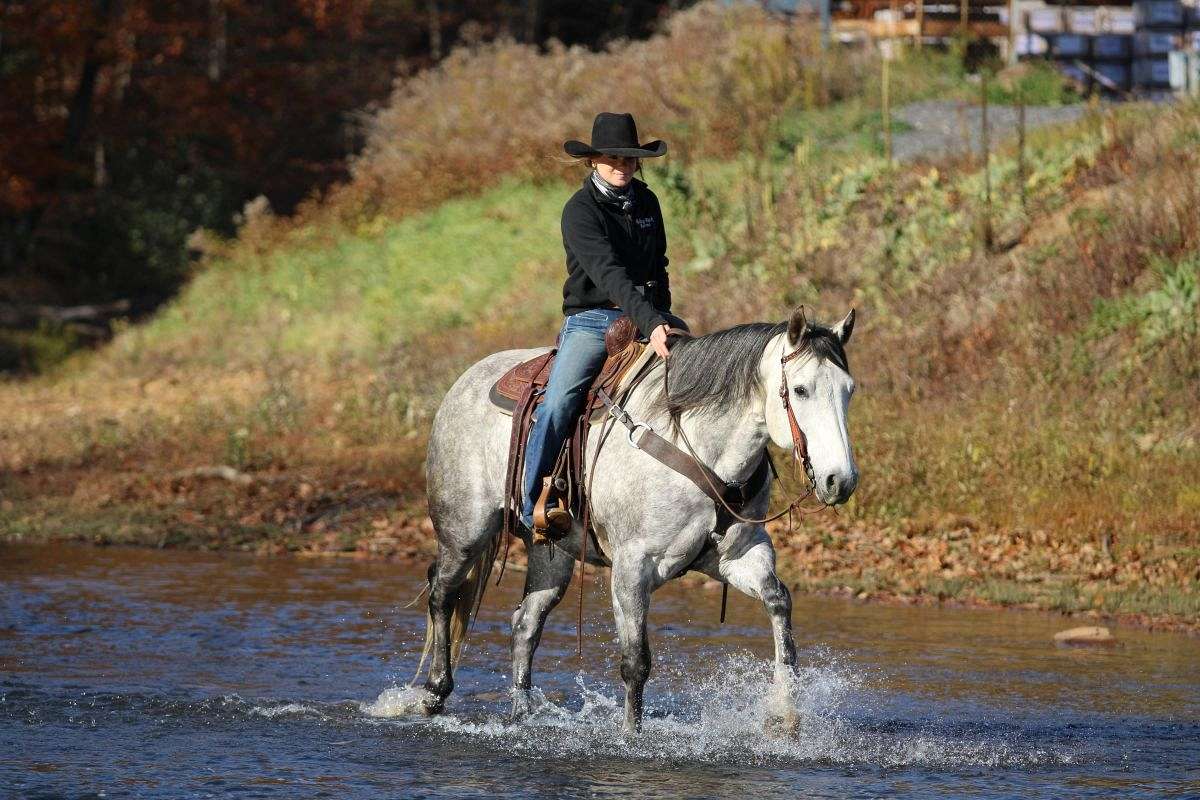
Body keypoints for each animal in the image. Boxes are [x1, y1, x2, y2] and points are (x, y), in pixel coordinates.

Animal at [410, 305, 858, 734]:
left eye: (849, 390)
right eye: (800, 390)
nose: (841, 480)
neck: (695, 443)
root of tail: (463, 382)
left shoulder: (738, 555)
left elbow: (779, 604)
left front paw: (786, 714)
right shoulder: (632, 567)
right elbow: (635, 662)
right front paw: (631, 735)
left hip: (549, 552)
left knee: (525, 623)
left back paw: (522, 716)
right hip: (464, 531)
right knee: (443, 593)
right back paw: (434, 693)